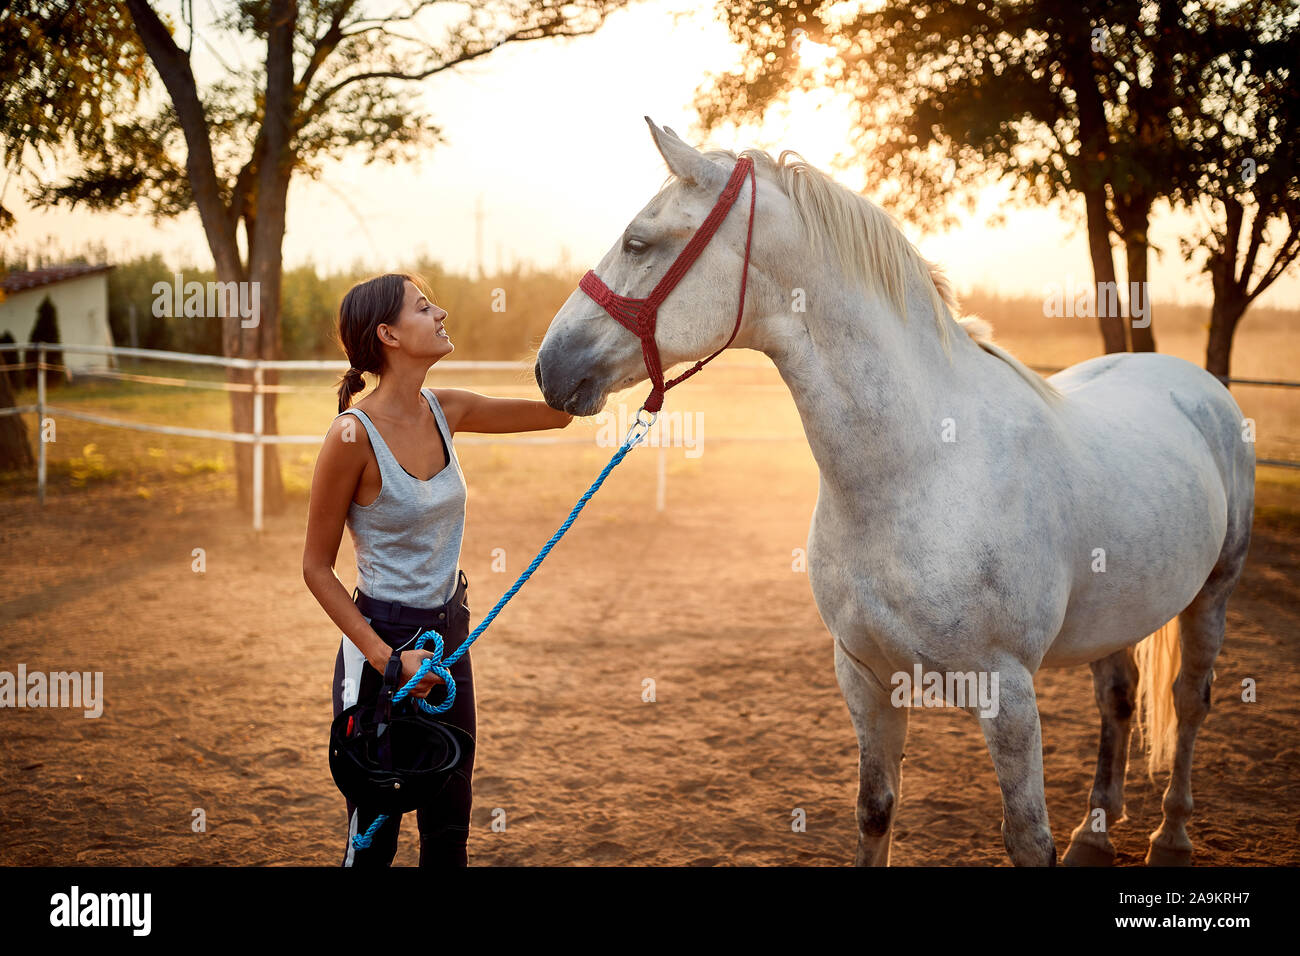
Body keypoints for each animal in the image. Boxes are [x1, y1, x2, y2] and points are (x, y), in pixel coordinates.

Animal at [534, 118, 1255, 866]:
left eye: (639, 242)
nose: (549, 365)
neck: (918, 471)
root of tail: (1191, 382)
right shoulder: (865, 677)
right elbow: (876, 809)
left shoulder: (1008, 694)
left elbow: (1028, 836)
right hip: (1117, 611)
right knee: (1119, 699)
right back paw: (1096, 832)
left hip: (1214, 591)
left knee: (1190, 698)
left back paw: (1172, 835)